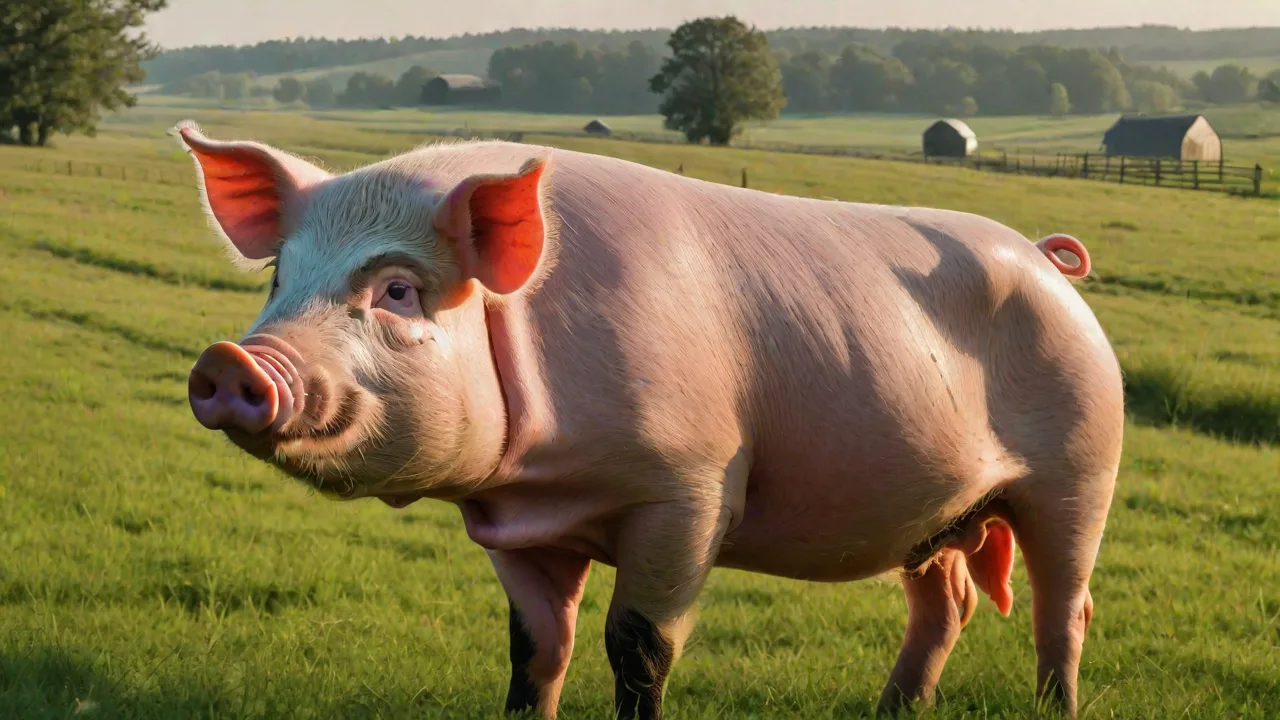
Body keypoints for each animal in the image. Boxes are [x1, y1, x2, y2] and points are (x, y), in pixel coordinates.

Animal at [174, 119, 1123, 720]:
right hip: (934, 511)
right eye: (279, 277)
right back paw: (890, 711)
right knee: (948, 603)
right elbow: (534, 645)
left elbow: (637, 645)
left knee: (1064, 607)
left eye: (399, 290)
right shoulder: (515, 524)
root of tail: (1045, 260)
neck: (547, 483)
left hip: (1082, 469)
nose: (230, 360)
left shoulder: (692, 486)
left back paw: (1056, 707)